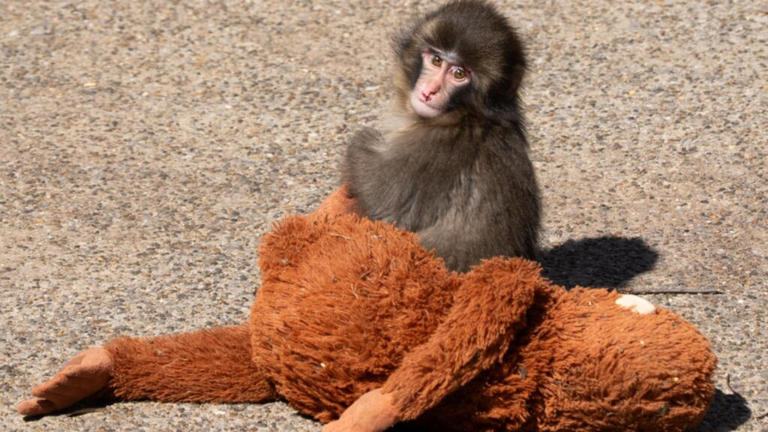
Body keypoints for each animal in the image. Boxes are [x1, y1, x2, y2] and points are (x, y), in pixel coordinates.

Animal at [343, 0, 540, 272]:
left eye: (459, 74)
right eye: (436, 60)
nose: (429, 91)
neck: (466, 115)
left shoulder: (430, 149)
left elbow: (380, 205)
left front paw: (362, 141)